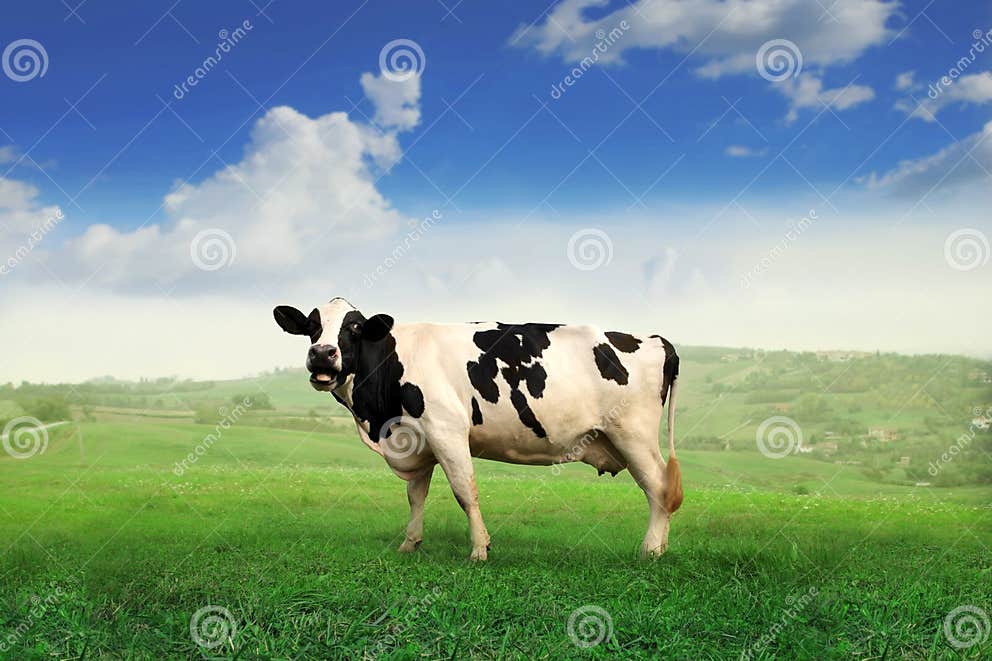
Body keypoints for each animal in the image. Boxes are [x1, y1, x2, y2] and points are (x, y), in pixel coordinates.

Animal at [273, 297, 682, 561]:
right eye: (311, 327)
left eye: (355, 327)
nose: (322, 354)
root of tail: (654, 339)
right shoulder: (416, 439)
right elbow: (416, 496)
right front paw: (410, 543)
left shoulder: (446, 429)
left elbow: (464, 492)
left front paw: (479, 549)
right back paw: (660, 548)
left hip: (633, 434)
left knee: (660, 489)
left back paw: (650, 551)